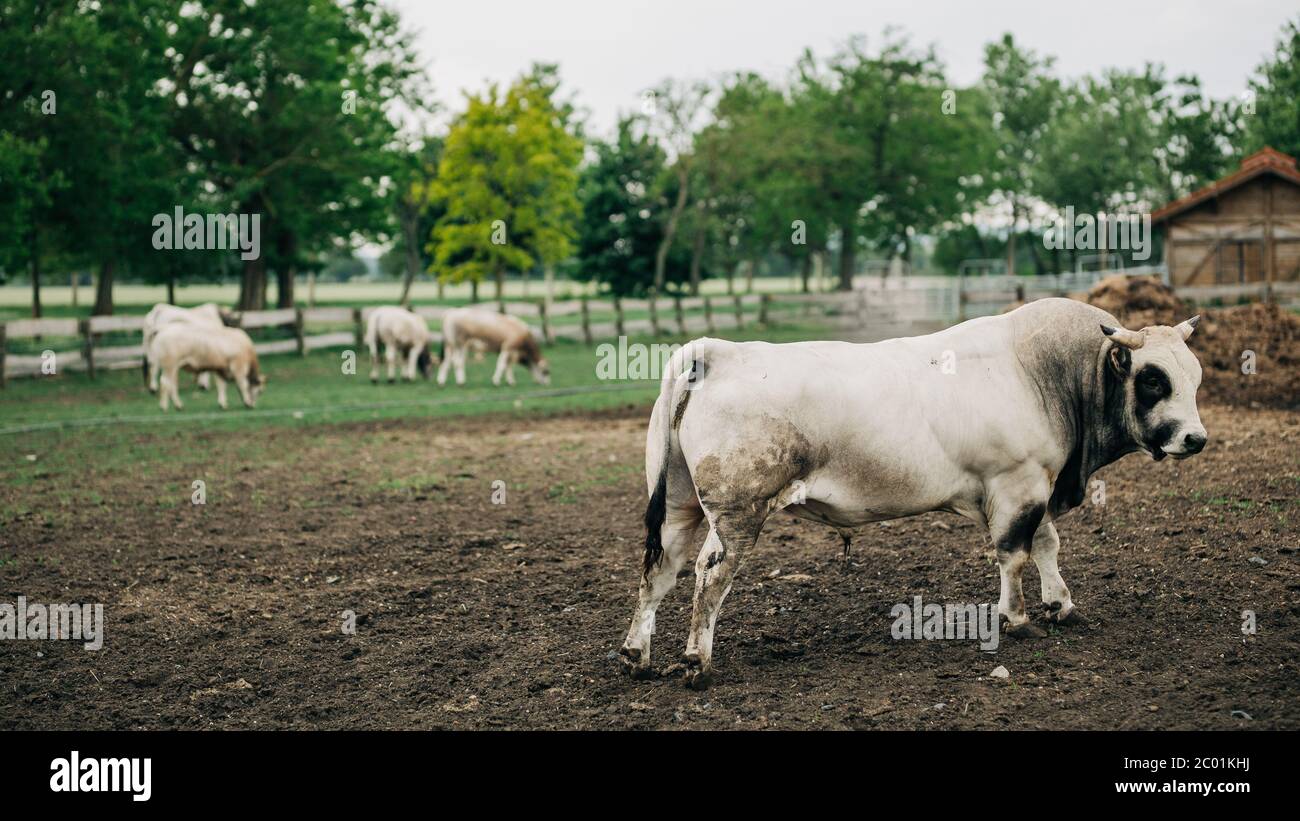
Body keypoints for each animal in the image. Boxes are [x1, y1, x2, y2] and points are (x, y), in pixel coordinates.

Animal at [619, 298, 1207, 690]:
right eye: (1153, 379)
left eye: (1195, 377)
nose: (1195, 438)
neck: (1041, 371)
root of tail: (716, 351)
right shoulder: (1015, 484)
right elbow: (1014, 555)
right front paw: (1016, 619)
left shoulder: (1037, 482)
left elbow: (1046, 545)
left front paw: (1061, 605)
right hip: (738, 513)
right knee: (710, 573)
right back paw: (697, 661)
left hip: (679, 505)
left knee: (660, 568)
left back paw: (635, 653)